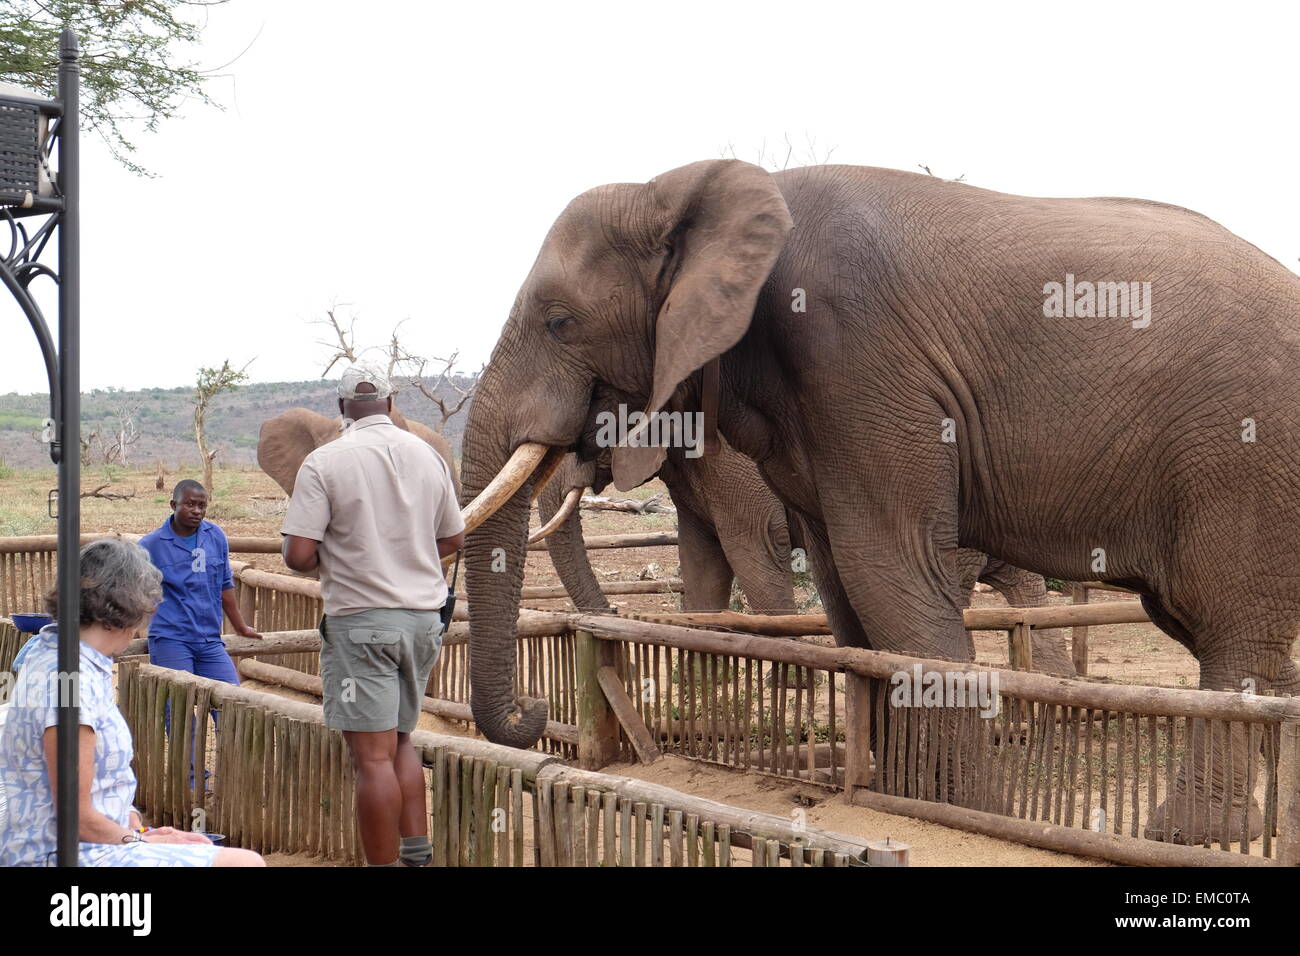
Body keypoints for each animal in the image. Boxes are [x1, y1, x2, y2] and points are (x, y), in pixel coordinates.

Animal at [459, 159, 1300, 845]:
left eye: (560, 321)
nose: (532, 714)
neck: (688, 186)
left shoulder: (857, 357)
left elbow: (888, 577)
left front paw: (969, 813)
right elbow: (839, 593)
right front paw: (898, 793)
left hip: (1245, 458)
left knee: (1228, 629)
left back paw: (1190, 834)